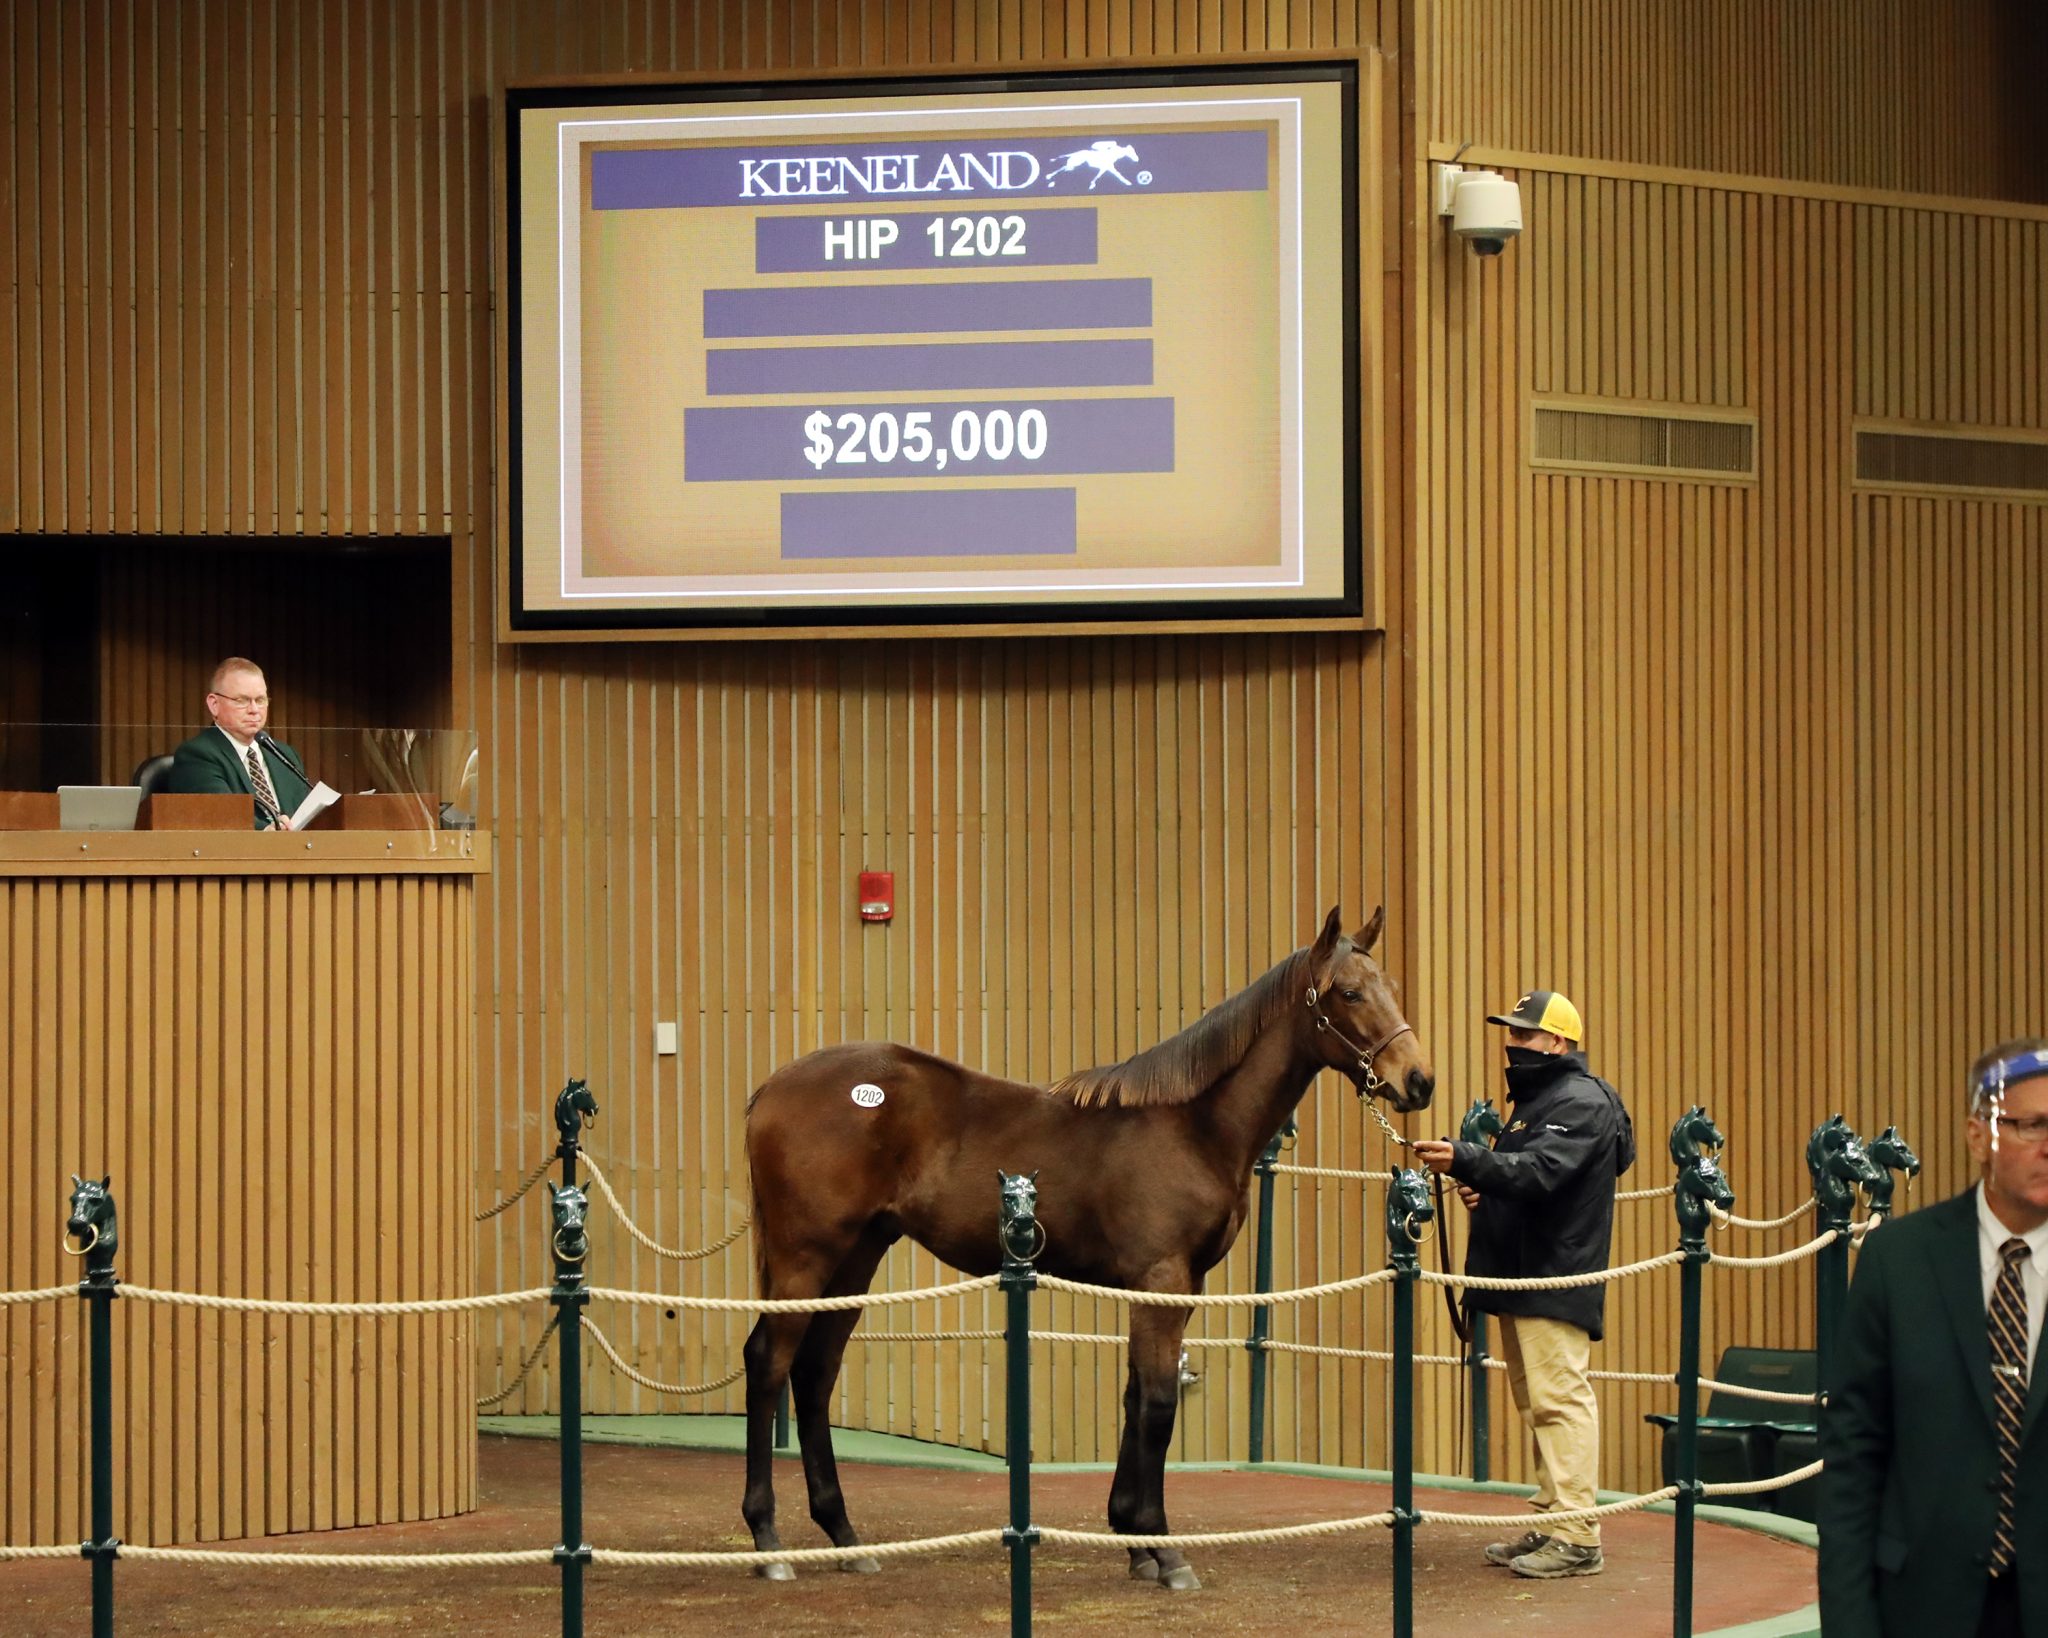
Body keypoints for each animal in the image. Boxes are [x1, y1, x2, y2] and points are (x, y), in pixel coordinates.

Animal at [741, 905, 1434, 1590]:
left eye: (1392, 987)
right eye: (1349, 994)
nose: (1419, 1080)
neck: (1193, 1126)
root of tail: (770, 1089)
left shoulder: (1171, 1287)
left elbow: (1133, 1397)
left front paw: (1133, 1540)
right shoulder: (1162, 1281)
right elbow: (1157, 1406)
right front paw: (1164, 1551)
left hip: (857, 1257)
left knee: (815, 1372)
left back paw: (843, 1535)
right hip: (807, 1256)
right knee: (769, 1363)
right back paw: (768, 1541)